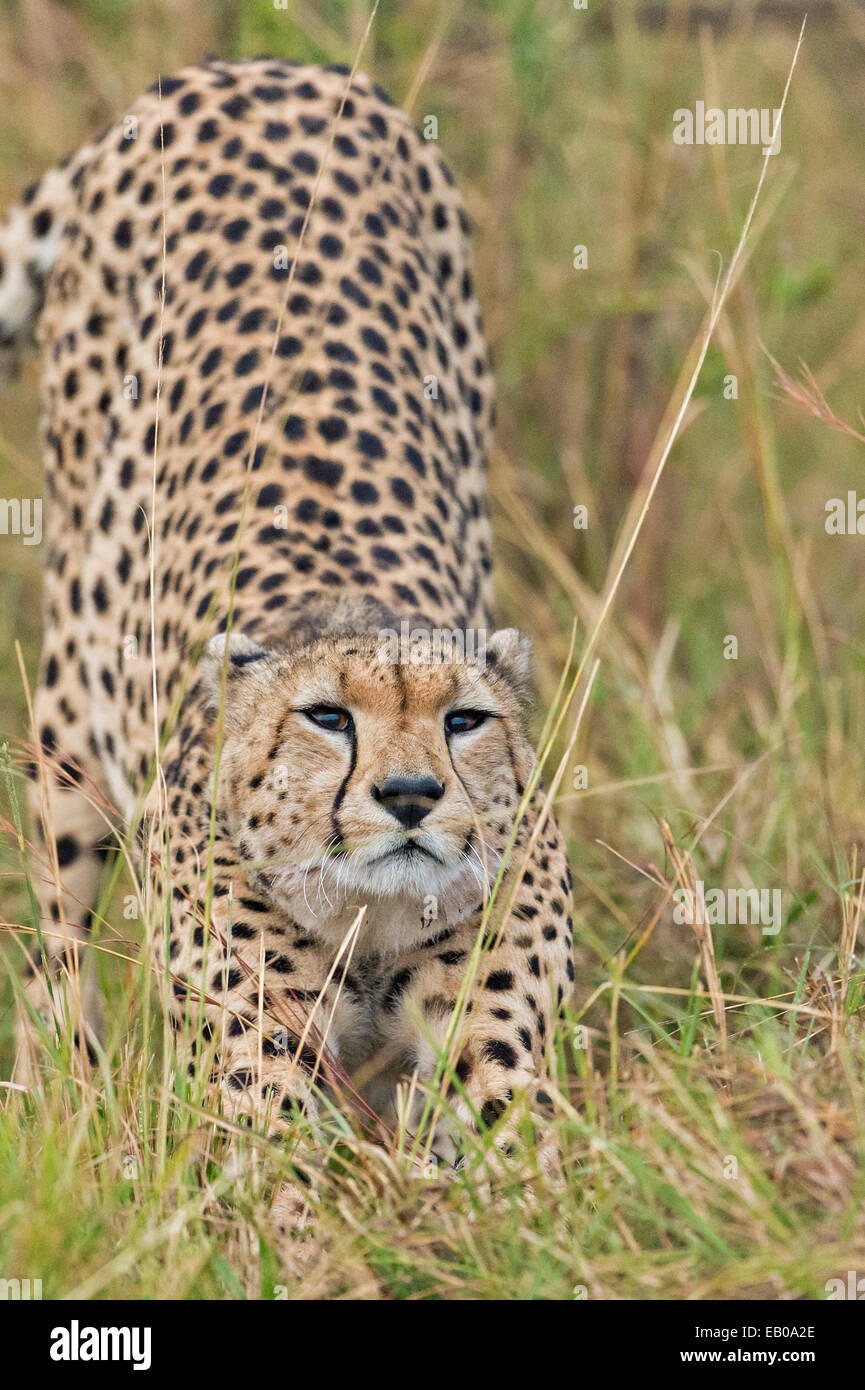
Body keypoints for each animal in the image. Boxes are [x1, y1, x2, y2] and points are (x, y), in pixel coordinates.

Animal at [0, 57, 575, 1208]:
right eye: (326, 719)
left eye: (465, 722)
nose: (411, 796)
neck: (373, 923)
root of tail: (246, 70)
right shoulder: (257, 1062)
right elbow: (284, 1186)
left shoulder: (496, 1052)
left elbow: (513, 1169)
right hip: (71, 730)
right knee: (54, 950)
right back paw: (60, 1104)